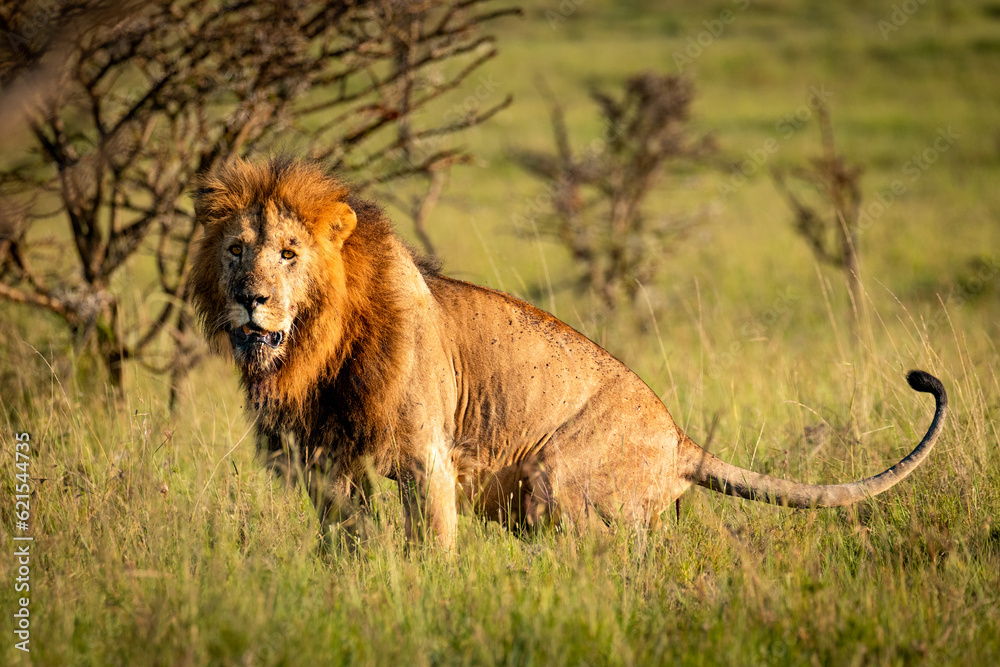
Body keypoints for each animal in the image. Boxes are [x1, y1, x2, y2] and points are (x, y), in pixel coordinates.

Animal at [190, 157, 947, 549]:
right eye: (237, 251)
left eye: (290, 253)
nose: (252, 299)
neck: (315, 349)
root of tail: (682, 441)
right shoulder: (322, 460)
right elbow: (345, 541)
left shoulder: (425, 452)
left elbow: (431, 542)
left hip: (557, 474)